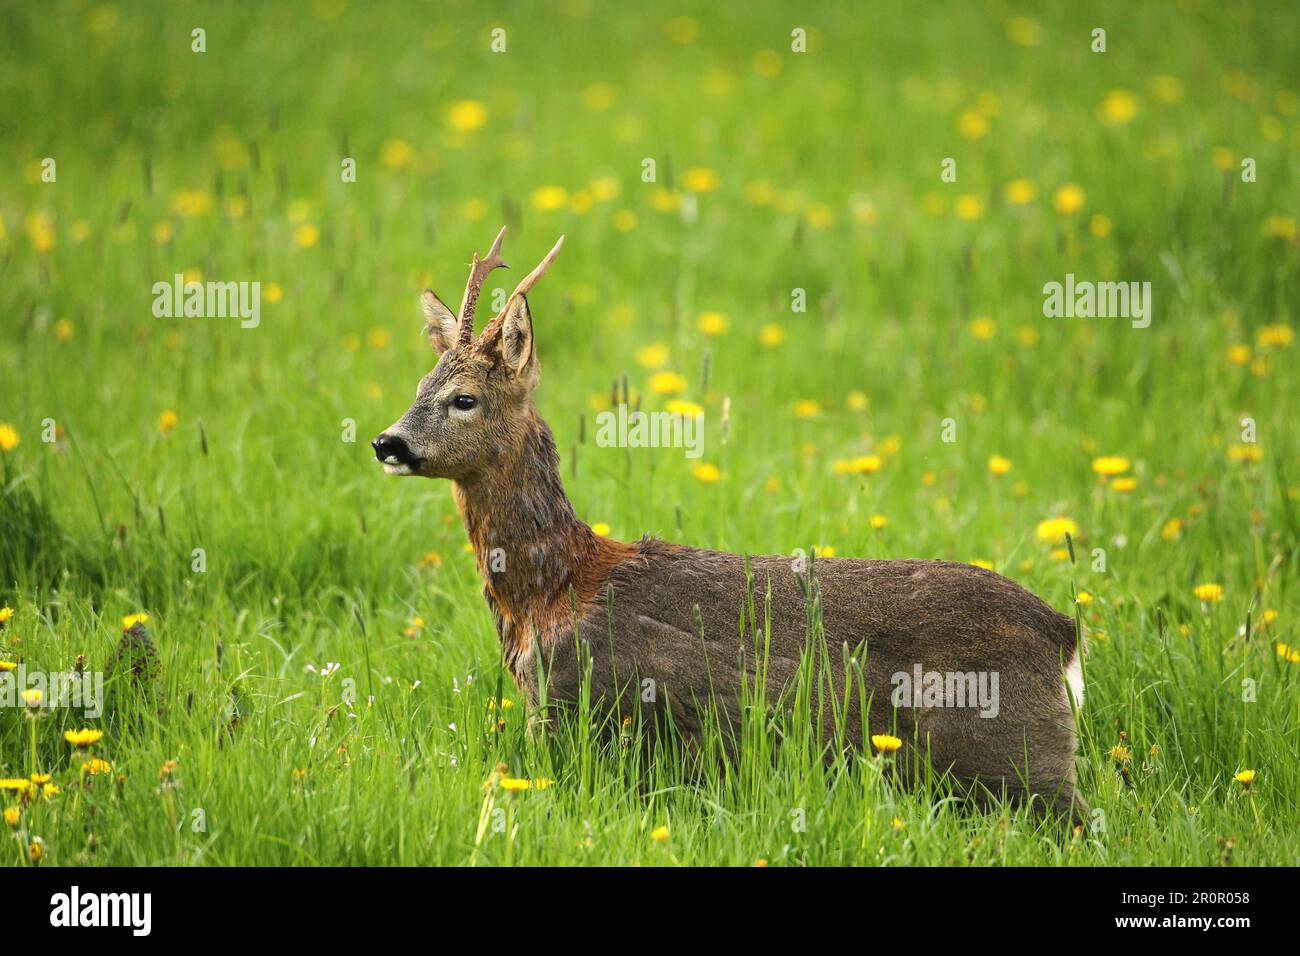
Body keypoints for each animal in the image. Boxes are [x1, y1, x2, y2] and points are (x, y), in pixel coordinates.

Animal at [373, 228, 1089, 826]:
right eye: (418, 386)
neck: (551, 595)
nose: (387, 442)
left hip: (1019, 762)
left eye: (464, 398)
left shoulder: (580, 716)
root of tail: (1064, 633)